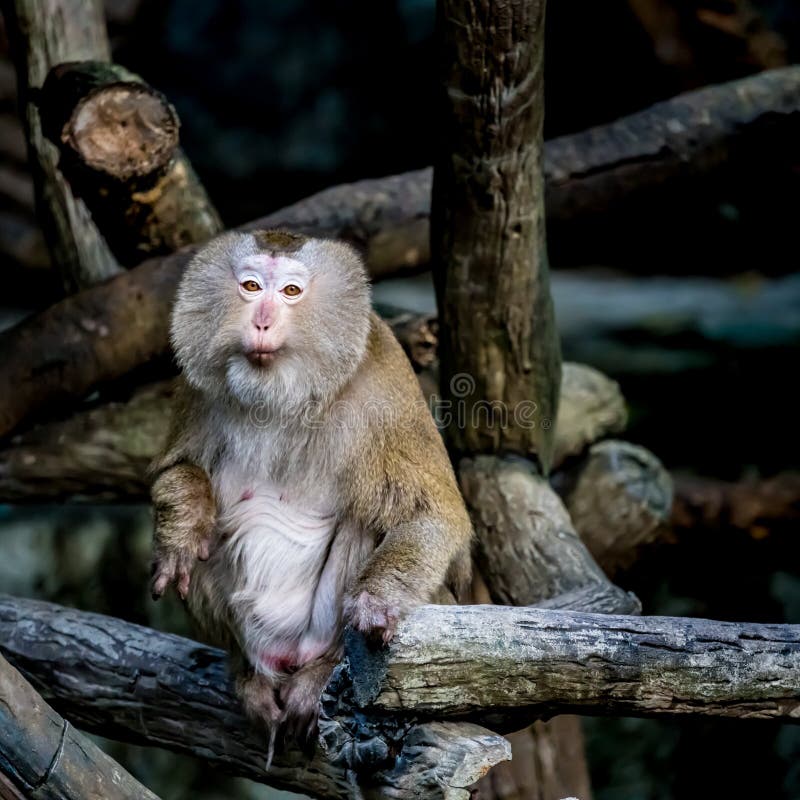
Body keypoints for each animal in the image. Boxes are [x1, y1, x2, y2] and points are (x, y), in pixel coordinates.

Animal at [149, 229, 472, 754]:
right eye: (251, 286)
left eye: (291, 292)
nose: (261, 320)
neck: (282, 393)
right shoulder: (198, 387)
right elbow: (174, 472)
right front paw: (182, 525)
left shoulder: (384, 385)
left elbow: (432, 515)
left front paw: (375, 600)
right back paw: (247, 675)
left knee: (366, 519)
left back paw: (323, 672)